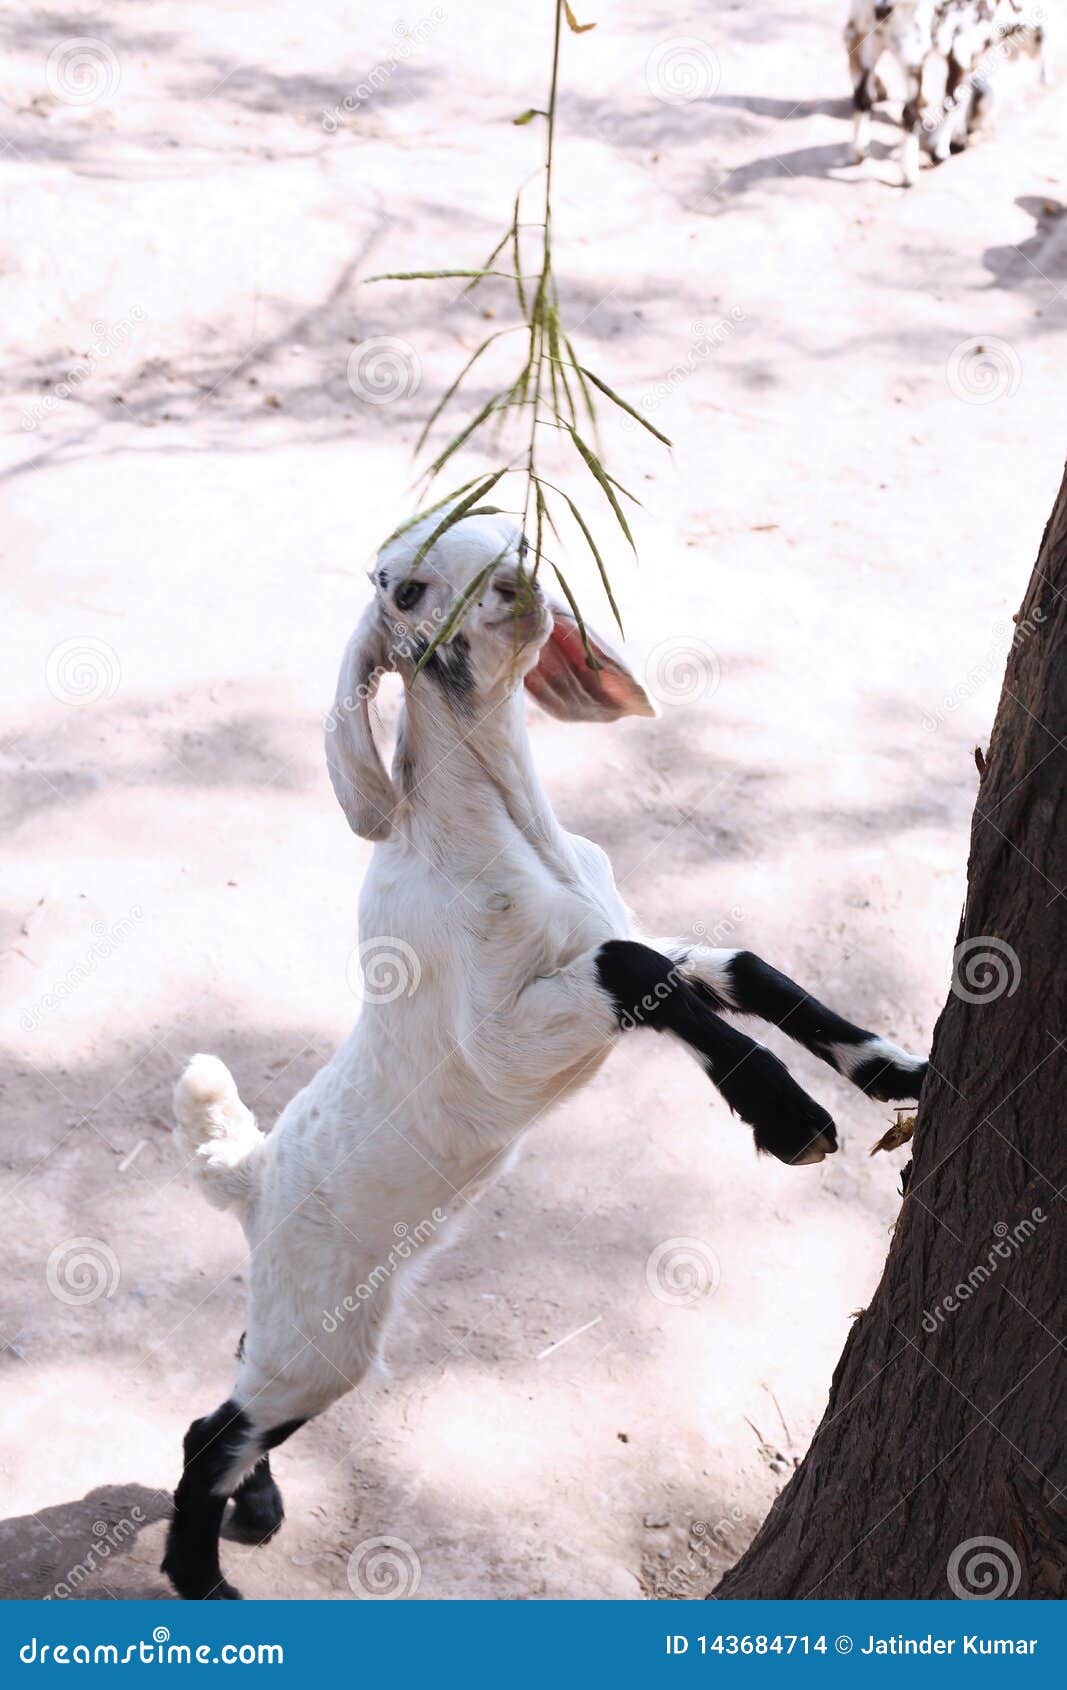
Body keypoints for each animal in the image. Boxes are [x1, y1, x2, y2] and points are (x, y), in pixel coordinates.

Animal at [162, 510, 927, 1599]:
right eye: (402, 588)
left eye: (512, 534)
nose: (517, 589)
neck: (515, 840)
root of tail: (252, 1171)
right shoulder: (503, 1041)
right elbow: (631, 965)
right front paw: (788, 1121)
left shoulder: (625, 945)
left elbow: (733, 967)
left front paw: (897, 1072)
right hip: (323, 1334)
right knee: (209, 1433)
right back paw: (206, 1578)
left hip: (315, 1317)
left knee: (228, 1389)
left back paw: (254, 1511)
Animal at [846, 1, 1050, 186]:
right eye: (1039, 37)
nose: (1043, 75)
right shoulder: (959, 47)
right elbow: (954, 100)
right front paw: (940, 150)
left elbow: (962, 95)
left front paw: (955, 139)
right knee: (907, 110)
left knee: (865, 96)